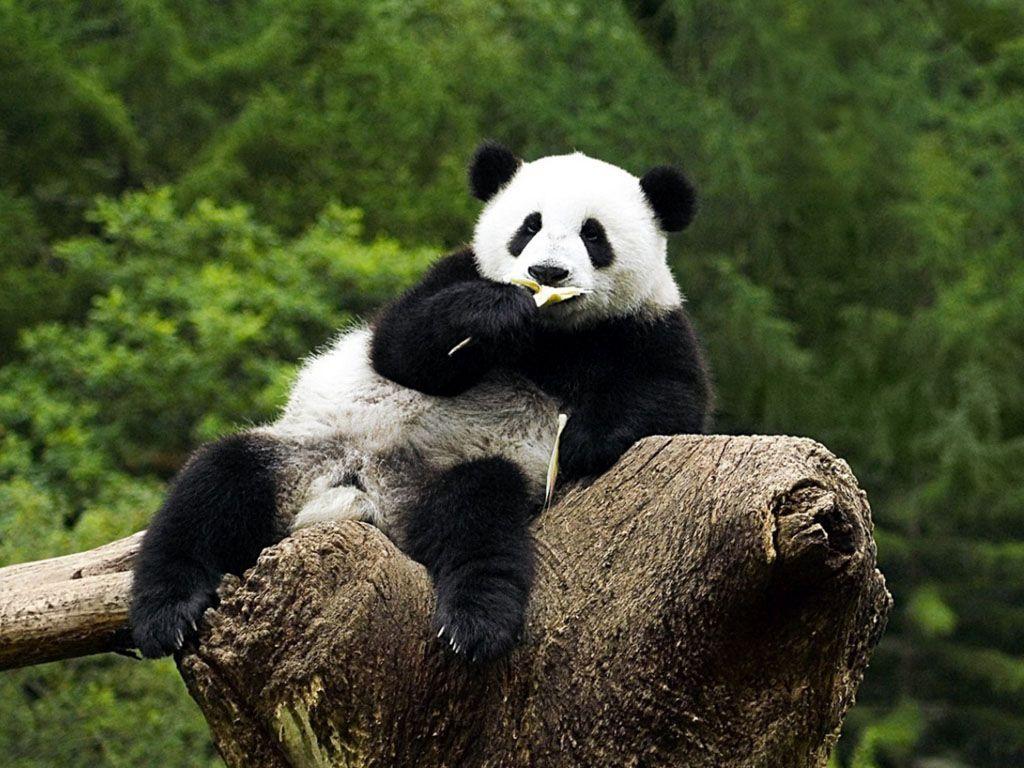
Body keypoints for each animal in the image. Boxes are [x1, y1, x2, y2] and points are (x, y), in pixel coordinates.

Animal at [130, 141, 712, 663]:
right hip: (302, 452)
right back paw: (166, 612)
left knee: (478, 517)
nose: (547, 273)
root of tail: (364, 494)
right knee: (213, 486)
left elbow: (672, 399)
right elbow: (400, 346)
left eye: (593, 234)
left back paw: (475, 623)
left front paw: (581, 440)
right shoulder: (453, 273)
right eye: (529, 226)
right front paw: (494, 313)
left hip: (454, 473)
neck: (552, 333)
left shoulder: (648, 324)